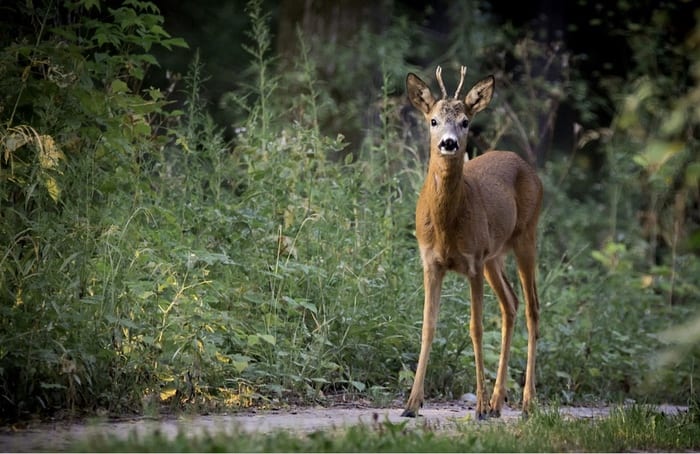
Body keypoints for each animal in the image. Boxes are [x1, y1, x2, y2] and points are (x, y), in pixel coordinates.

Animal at [401, 65, 543, 420]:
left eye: (465, 121)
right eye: (433, 120)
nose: (450, 143)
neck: (446, 227)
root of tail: (527, 166)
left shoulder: (473, 261)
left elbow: (476, 329)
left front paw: (477, 406)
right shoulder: (431, 262)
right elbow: (428, 326)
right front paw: (411, 404)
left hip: (526, 235)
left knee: (532, 308)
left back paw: (526, 402)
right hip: (495, 256)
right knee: (511, 304)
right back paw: (497, 402)